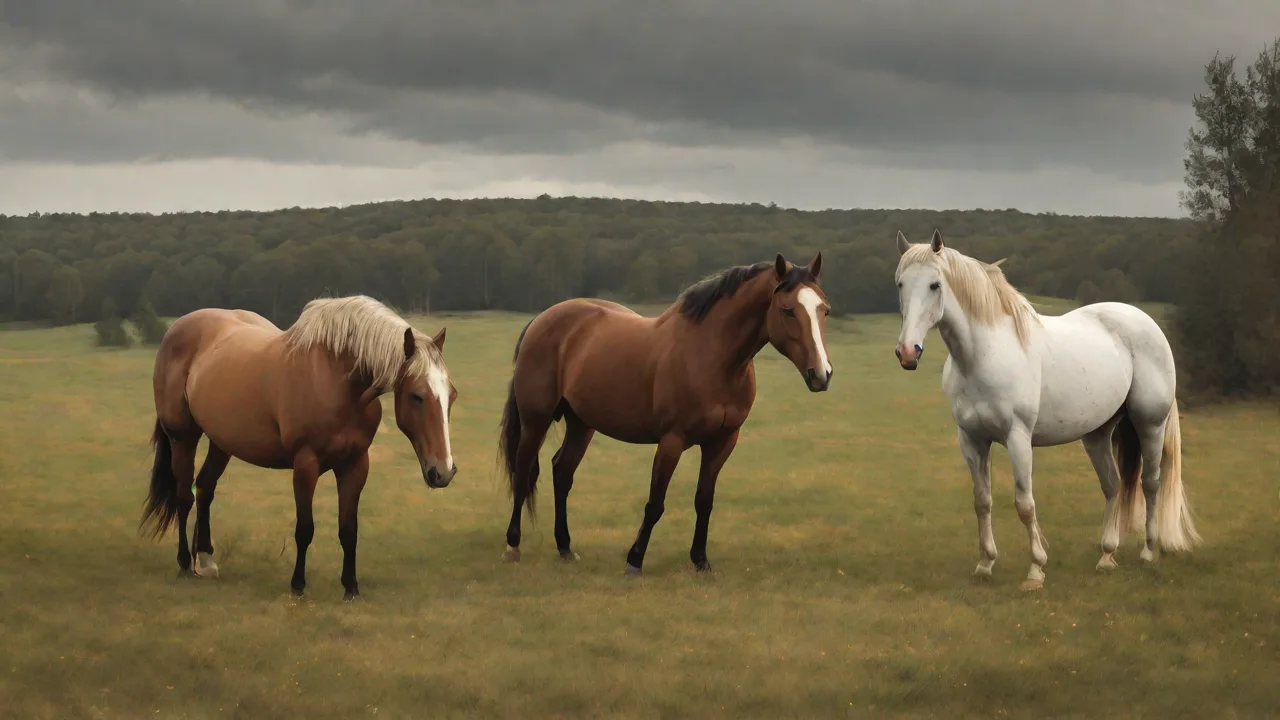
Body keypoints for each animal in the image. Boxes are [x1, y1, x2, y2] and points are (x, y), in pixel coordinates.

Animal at [140, 295, 457, 600]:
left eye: (451, 394)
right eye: (416, 396)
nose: (443, 472)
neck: (337, 379)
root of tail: (177, 329)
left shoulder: (355, 464)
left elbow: (348, 529)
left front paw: (350, 588)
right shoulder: (306, 464)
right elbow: (305, 529)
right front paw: (298, 586)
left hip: (222, 441)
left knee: (205, 488)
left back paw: (205, 560)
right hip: (183, 438)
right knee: (184, 496)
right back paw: (185, 565)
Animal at [496, 253, 833, 575]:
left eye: (824, 310)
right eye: (788, 310)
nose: (822, 374)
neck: (712, 357)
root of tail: (542, 319)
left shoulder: (722, 442)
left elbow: (704, 501)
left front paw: (700, 561)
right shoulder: (672, 441)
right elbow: (655, 503)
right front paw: (634, 560)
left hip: (582, 424)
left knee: (562, 472)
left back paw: (565, 547)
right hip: (536, 421)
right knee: (523, 471)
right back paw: (513, 545)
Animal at [892, 230, 1200, 591]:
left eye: (934, 285)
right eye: (901, 283)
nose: (908, 352)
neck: (984, 355)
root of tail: (1147, 324)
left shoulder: (1018, 439)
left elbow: (1024, 503)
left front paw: (1036, 570)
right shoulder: (971, 440)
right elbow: (982, 501)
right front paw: (985, 564)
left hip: (1150, 424)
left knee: (1150, 483)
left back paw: (1149, 552)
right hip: (1097, 434)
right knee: (1112, 485)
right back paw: (1106, 555)